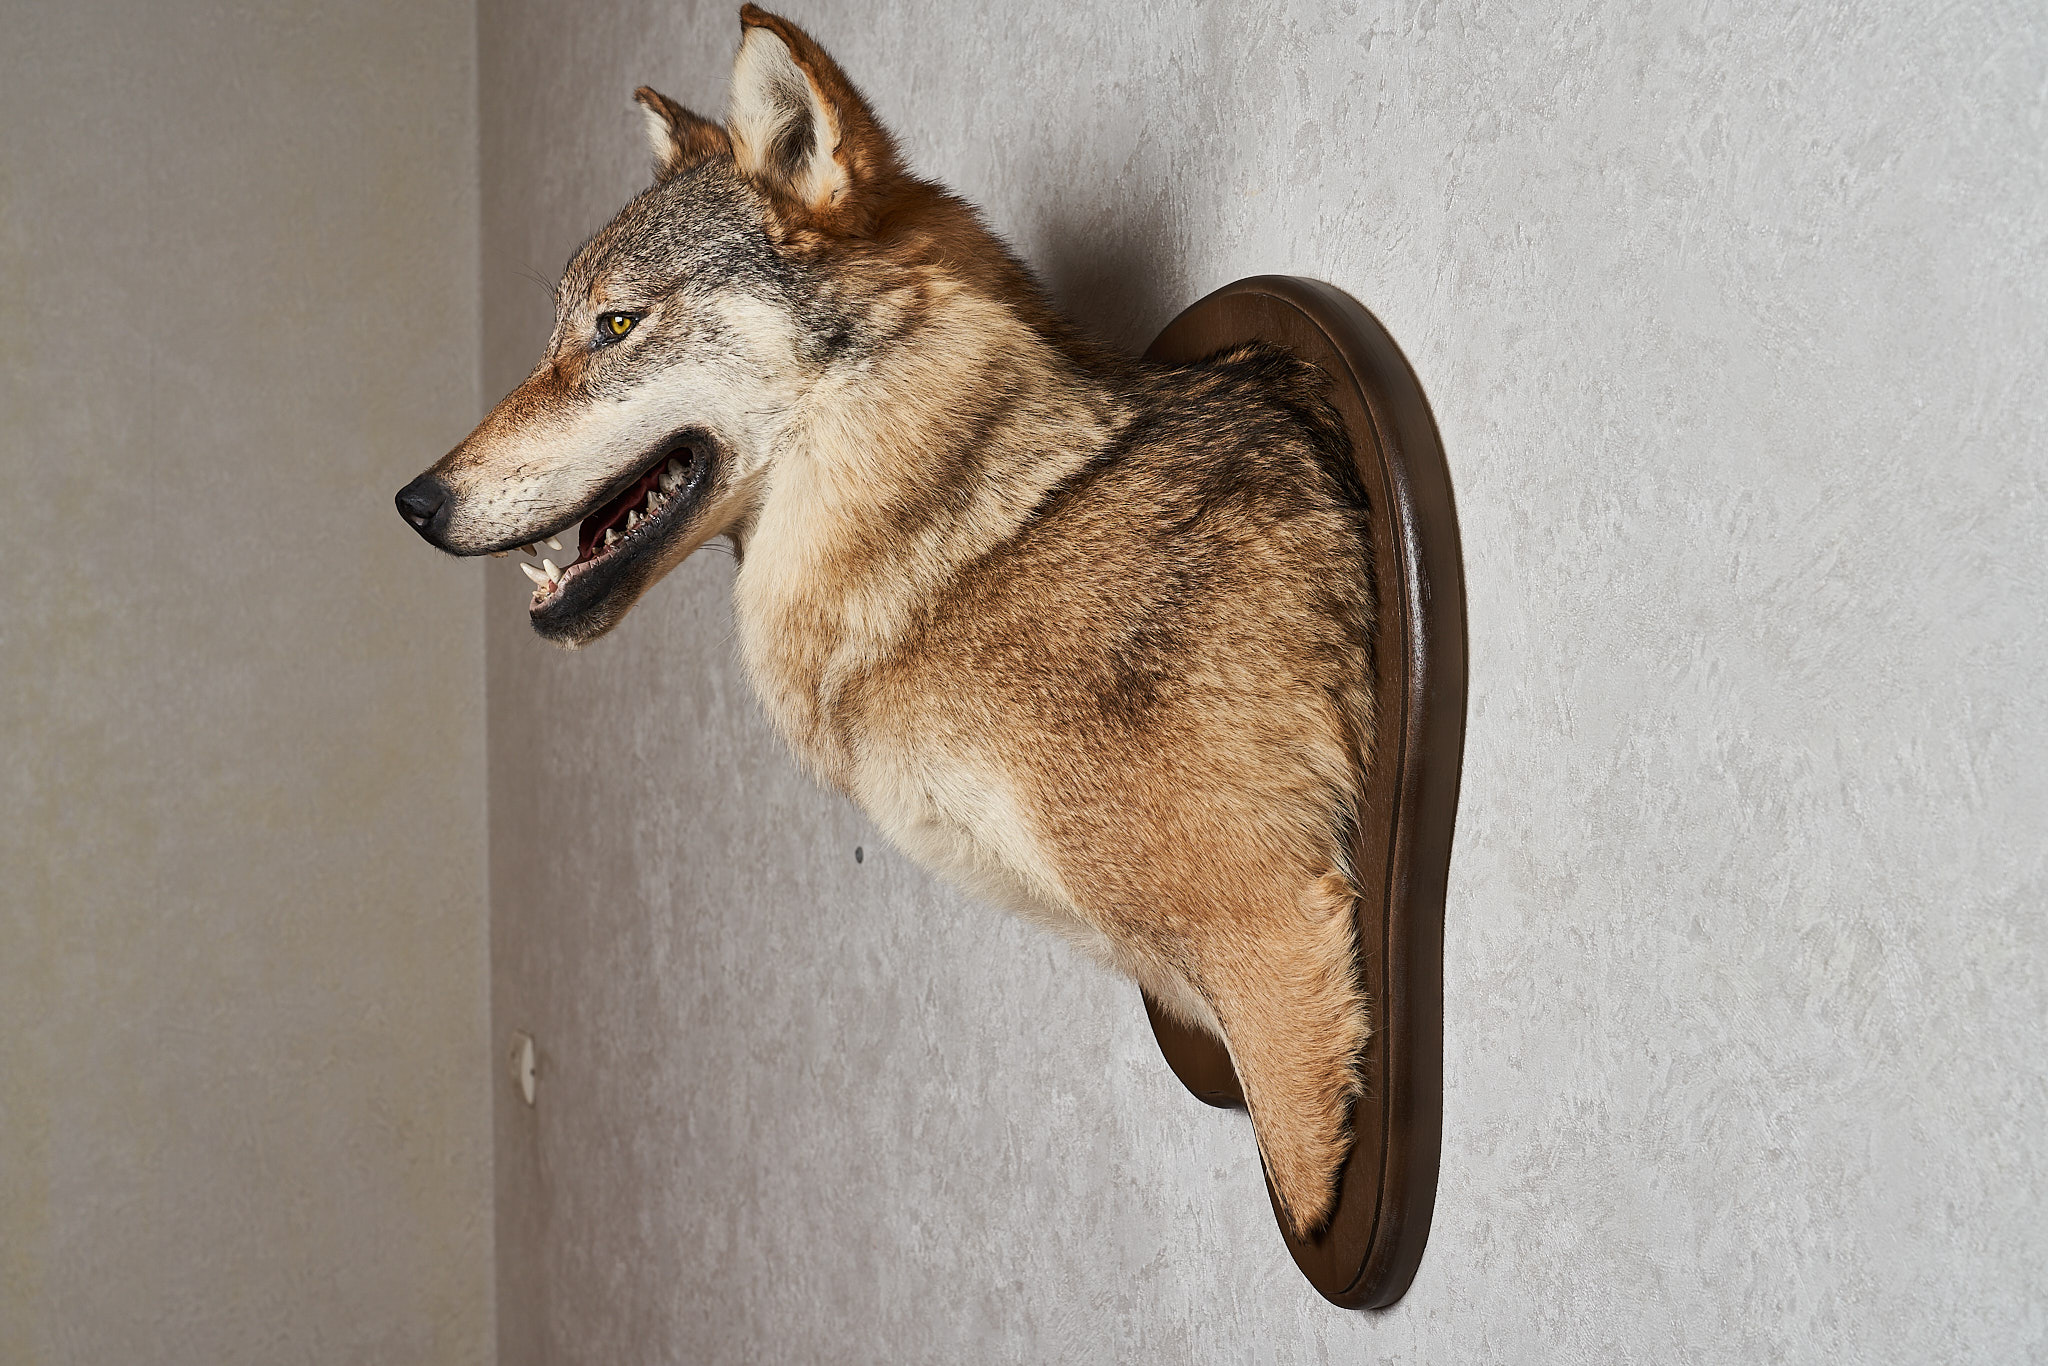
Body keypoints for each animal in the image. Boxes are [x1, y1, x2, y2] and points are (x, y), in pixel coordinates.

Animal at [396, 5, 1375, 1239]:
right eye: (559, 332)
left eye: (616, 325)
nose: (414, 502)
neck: (971, 549)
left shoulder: (1265, 933)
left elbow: (1308, 1201)